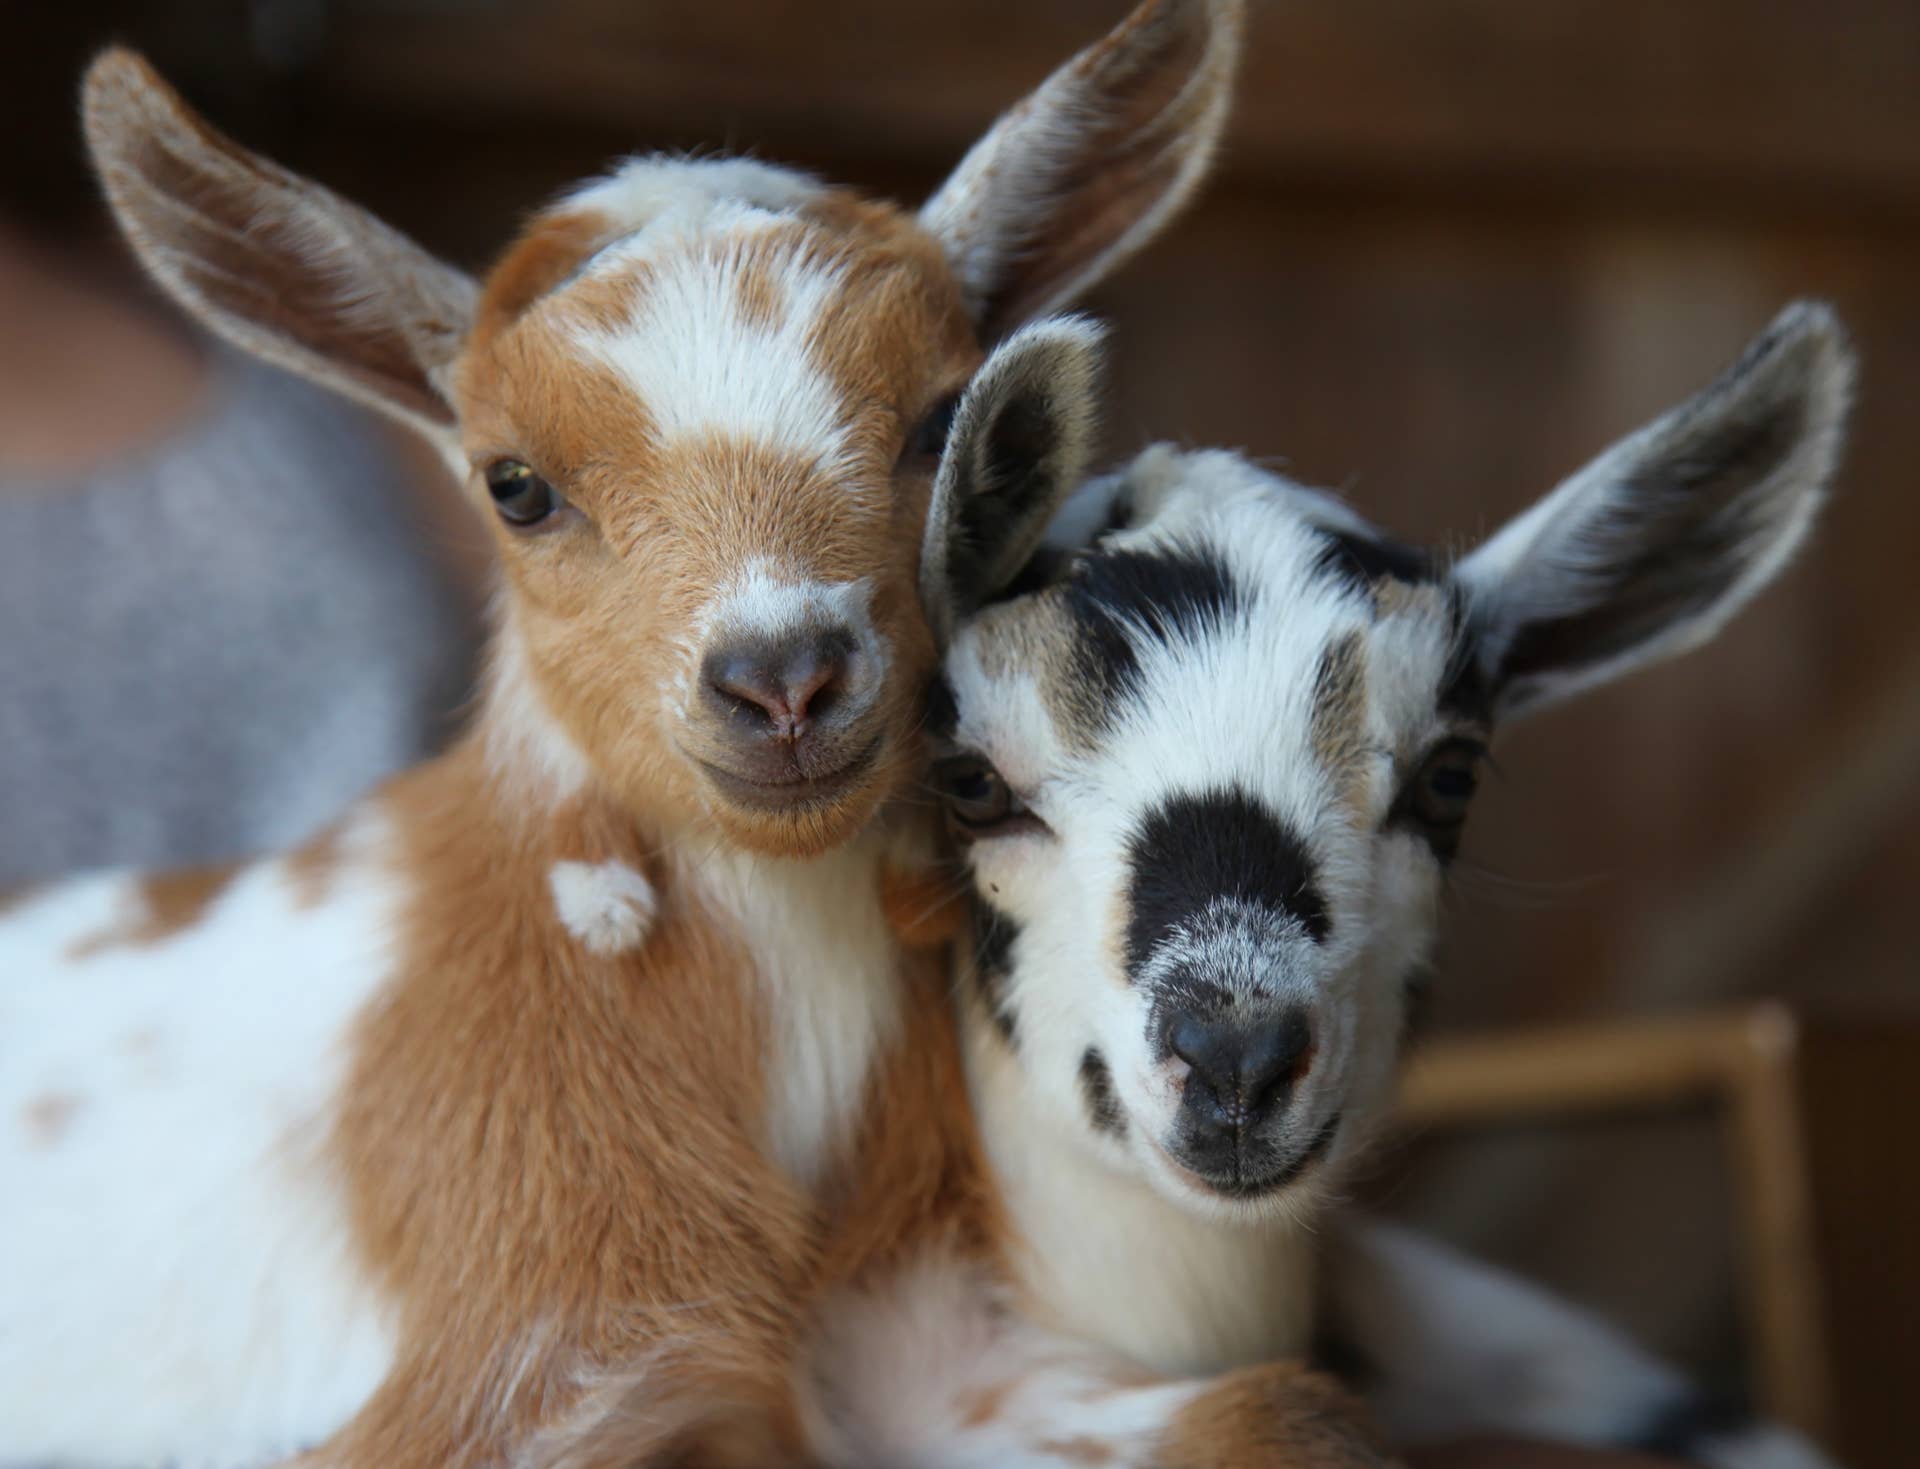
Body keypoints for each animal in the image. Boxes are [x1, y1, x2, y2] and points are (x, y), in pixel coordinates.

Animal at [0, 5, 1285, 1466]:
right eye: (514, 484)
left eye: (939, 421)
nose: (782, 677)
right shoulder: (499, 1376)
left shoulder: (933, 1340)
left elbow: (1279, 1403)